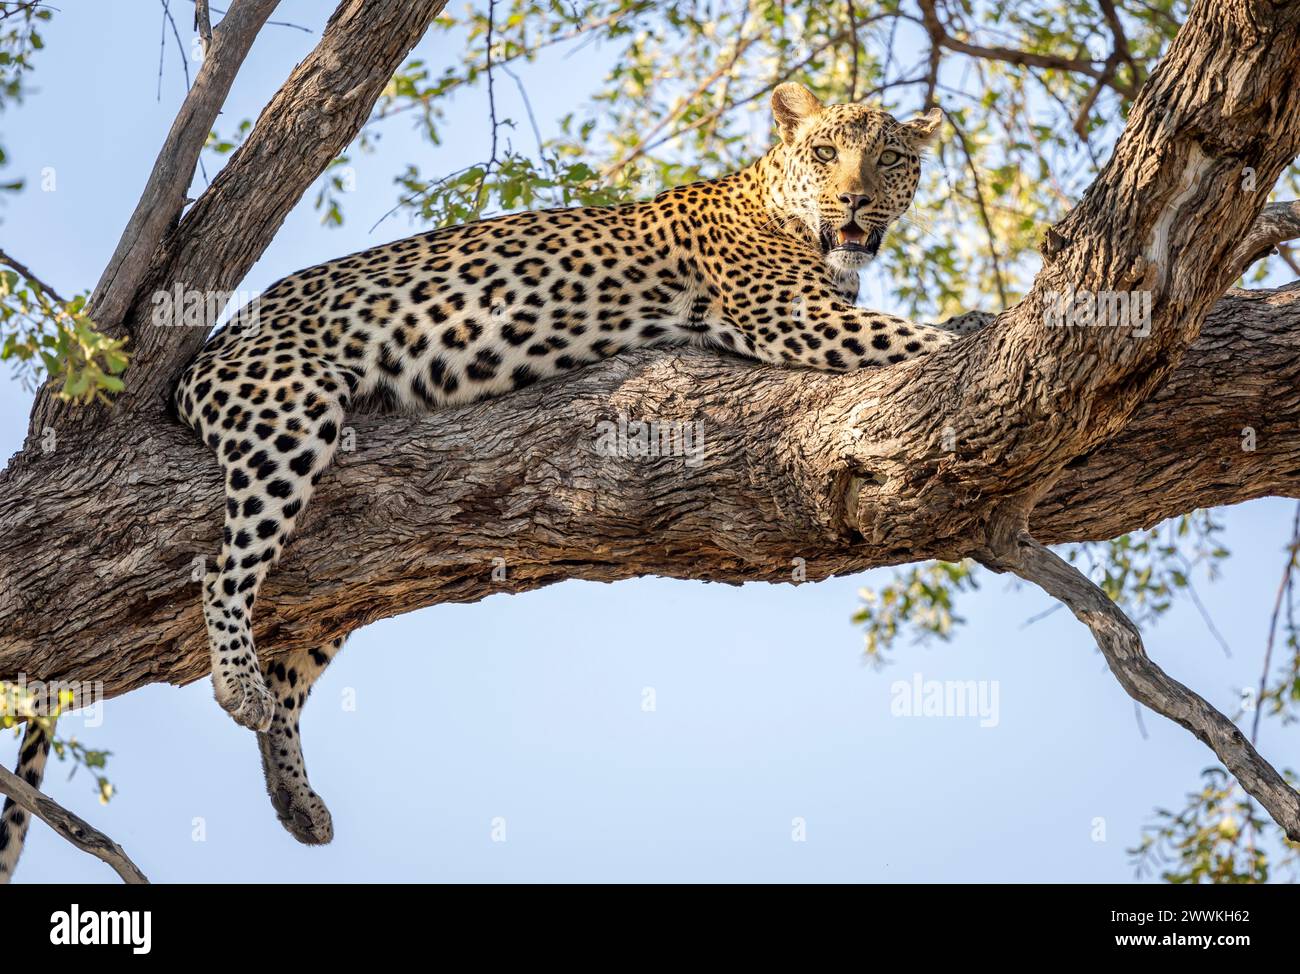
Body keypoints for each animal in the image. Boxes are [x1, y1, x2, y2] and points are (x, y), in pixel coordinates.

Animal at [1, 83, 994, 877]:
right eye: (826, 152)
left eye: (891, 157)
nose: (855, 199)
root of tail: (197, 361)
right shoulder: (792, 317)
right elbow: (914, 336)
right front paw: (981, 324)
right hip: (289, 414)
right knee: (223, 569)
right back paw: (237, 685)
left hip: (354, 565)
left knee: (294, 655)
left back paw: (297, 802)